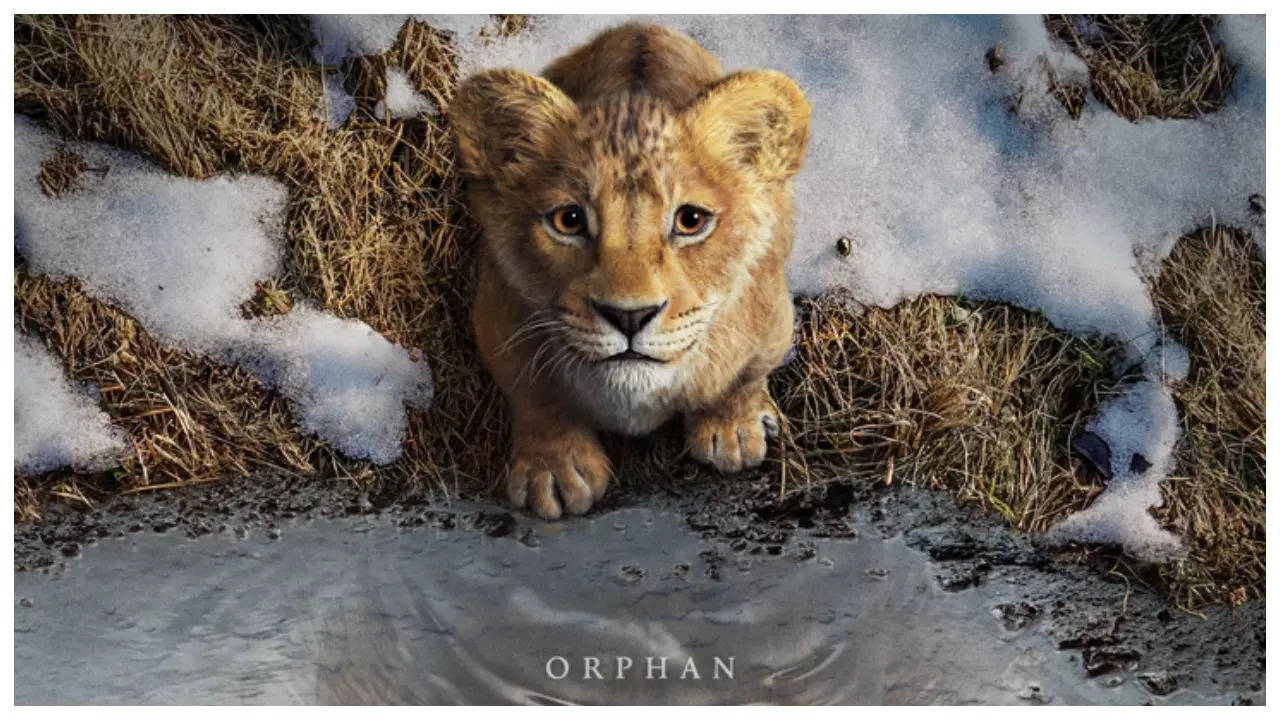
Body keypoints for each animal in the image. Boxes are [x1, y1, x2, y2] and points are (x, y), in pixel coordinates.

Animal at [450, 22, 810, 519]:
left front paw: (732, 429)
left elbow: (743, 376)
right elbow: (535, 395)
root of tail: (641, 27)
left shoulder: (772, 317)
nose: (629, 316)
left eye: (690, 220)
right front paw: (555, 469)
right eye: (569, 220)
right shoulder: (497, 317)